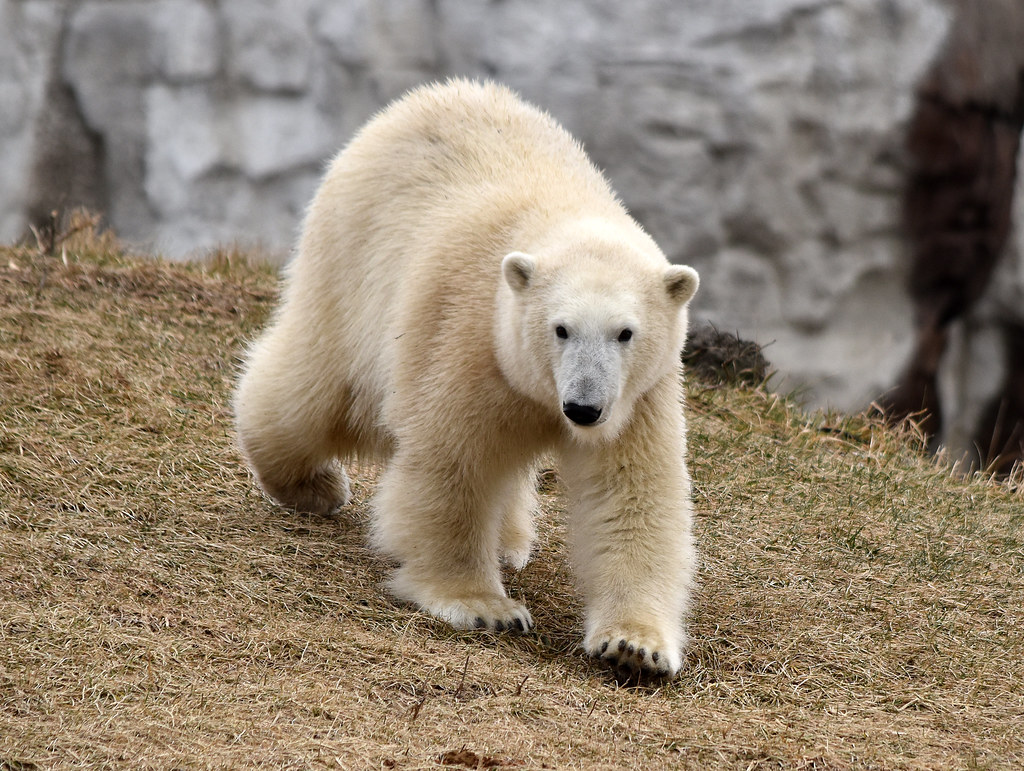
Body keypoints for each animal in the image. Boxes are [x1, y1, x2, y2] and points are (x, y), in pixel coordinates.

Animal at [233, 79, 700, 678]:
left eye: (626, 333)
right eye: (560, 329)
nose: (583, 408)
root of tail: (422, 98)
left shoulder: (639, 396)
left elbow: (633, 493)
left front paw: (635, 646)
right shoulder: (471, 339)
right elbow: (455, 462)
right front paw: (484, 606)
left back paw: (509, 540)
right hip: (352, 264)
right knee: (317, 390)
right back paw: (310, 484)